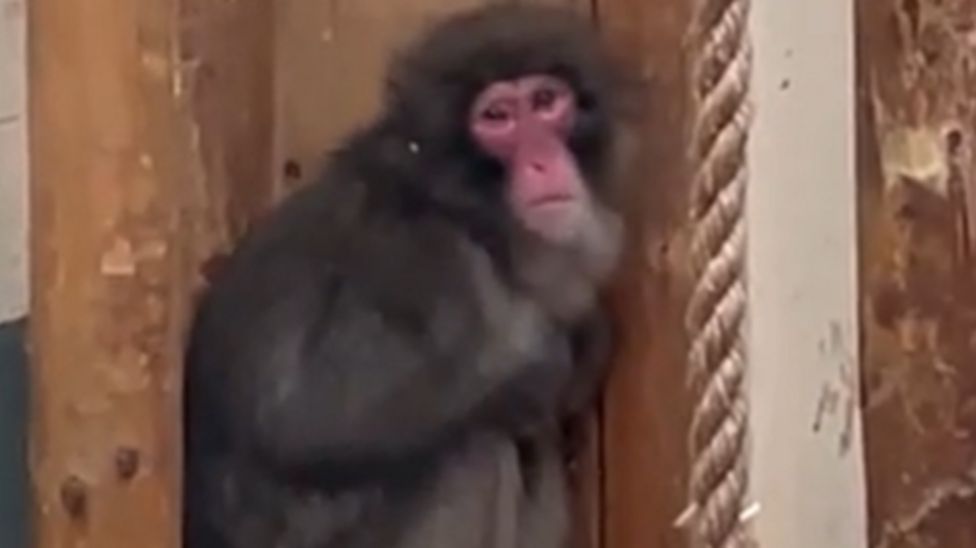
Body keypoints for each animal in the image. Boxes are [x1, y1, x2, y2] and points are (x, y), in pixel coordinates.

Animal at [183, 5, 628, 548]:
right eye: (496, 117)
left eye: (546, 102)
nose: (543, 160)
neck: (470, 213)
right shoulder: (429, 259)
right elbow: (303, 415)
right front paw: (551, 356)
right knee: (477, 446)